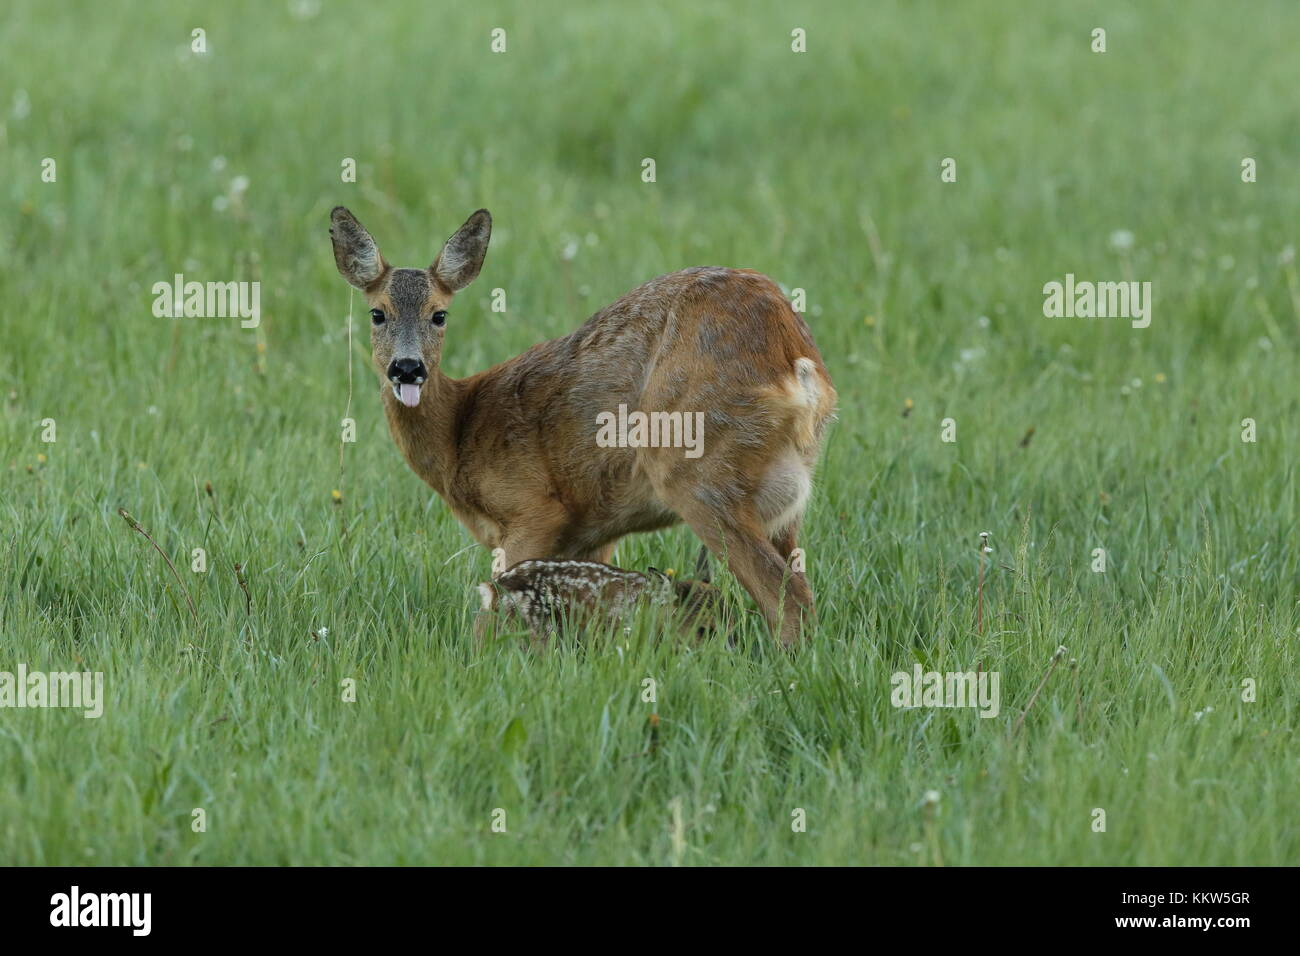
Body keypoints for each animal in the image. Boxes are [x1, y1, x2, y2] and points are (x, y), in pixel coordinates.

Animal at [328, 206, 836, 645]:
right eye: (378, 312)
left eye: (439, 314)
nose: (407, 368)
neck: (461, 432)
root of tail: (793, 355)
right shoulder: (593, 535)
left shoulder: (532, 508)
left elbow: (491, 608)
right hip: (783, 493)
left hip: (696, 468)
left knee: (787, 597)